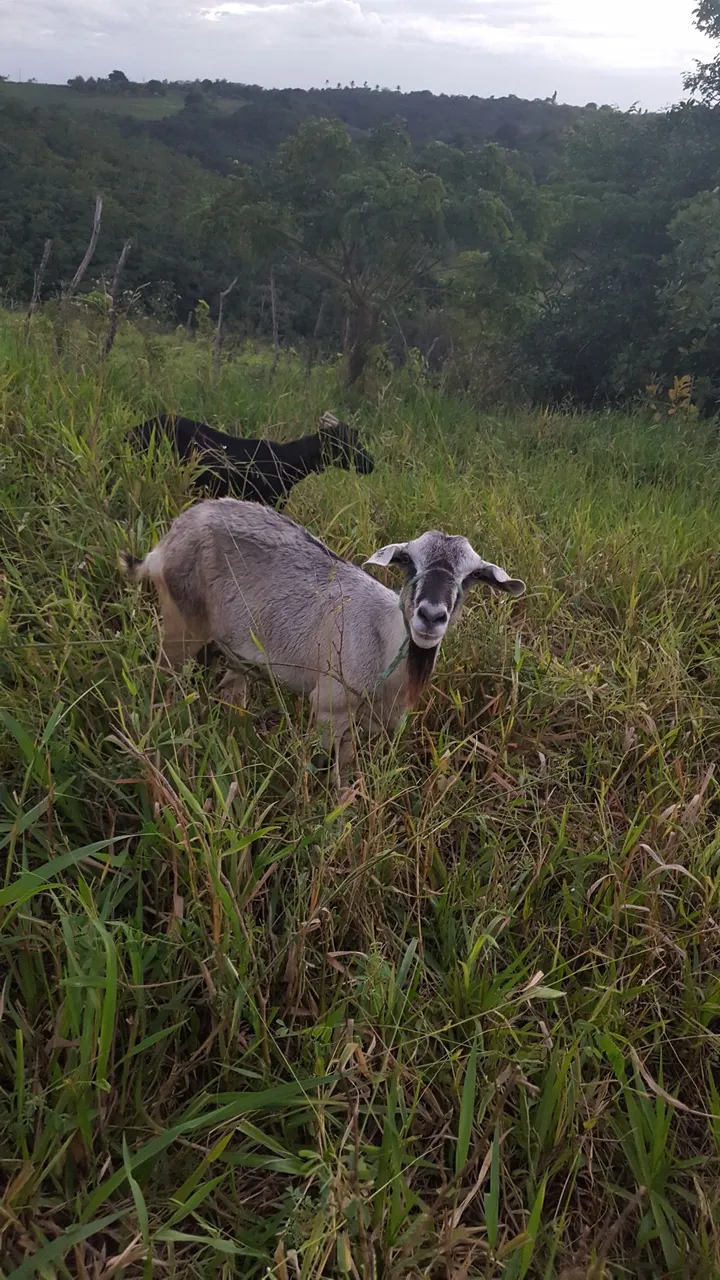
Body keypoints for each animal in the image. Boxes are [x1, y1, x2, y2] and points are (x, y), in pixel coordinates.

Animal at [121, 500, 525, 779]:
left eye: (471, 577)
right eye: (409, 562)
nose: (430, 616)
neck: (383, 638)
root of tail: (166, 543)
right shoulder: (332, 706)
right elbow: (334, 771)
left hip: (237, 651)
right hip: (182, 625)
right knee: (161, 678)